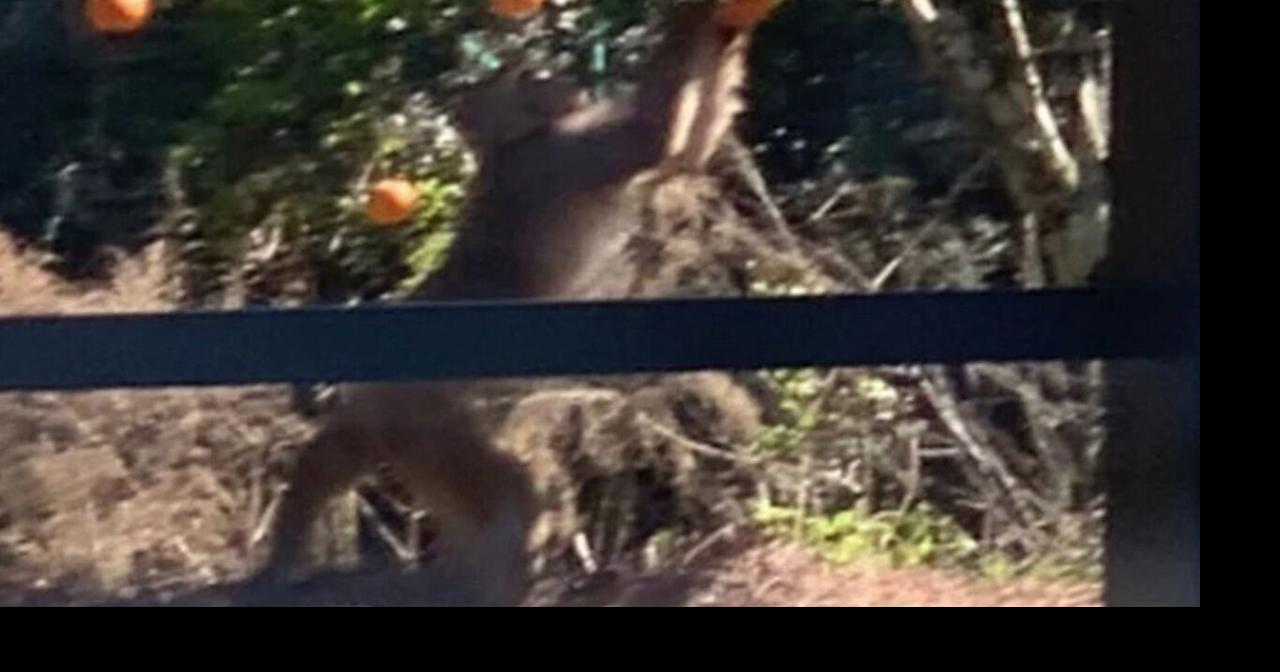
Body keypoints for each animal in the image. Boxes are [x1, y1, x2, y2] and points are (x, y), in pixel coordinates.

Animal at [252, 1, 763, 606]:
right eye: (527, 76)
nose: (555, 79)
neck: (507, 146)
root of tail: (372, 398)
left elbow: (686, 152)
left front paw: (728, 30)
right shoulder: (561, 153)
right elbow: (655, 136)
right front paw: (694, 15)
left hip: (419, 441)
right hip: (430, 427)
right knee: (513, 507)